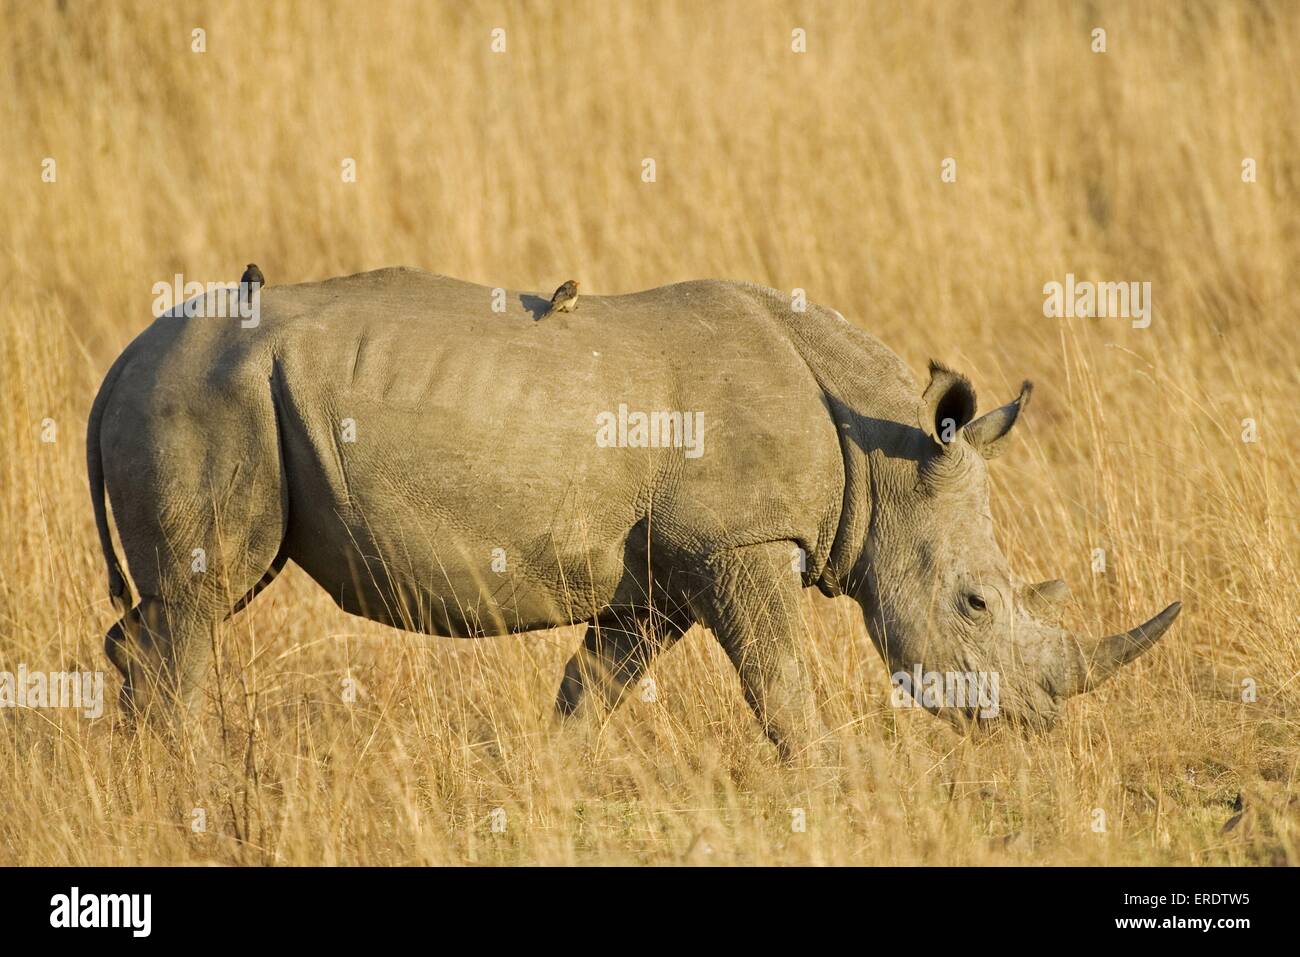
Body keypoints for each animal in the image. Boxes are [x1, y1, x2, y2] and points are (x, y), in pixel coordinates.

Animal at [88, 267, 1180, 760]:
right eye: (974, 604)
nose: (1036, 722)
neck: (883, 455)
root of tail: (113, 370)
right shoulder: (741, 540)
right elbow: (779, 676)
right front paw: (837, 774)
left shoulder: (662, 576)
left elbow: (595, 682)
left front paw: (551, 774)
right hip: (201, 398)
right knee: (199, 606)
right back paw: (197, 781)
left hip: (203, 394)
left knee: (170, 615)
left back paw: (150, 776)